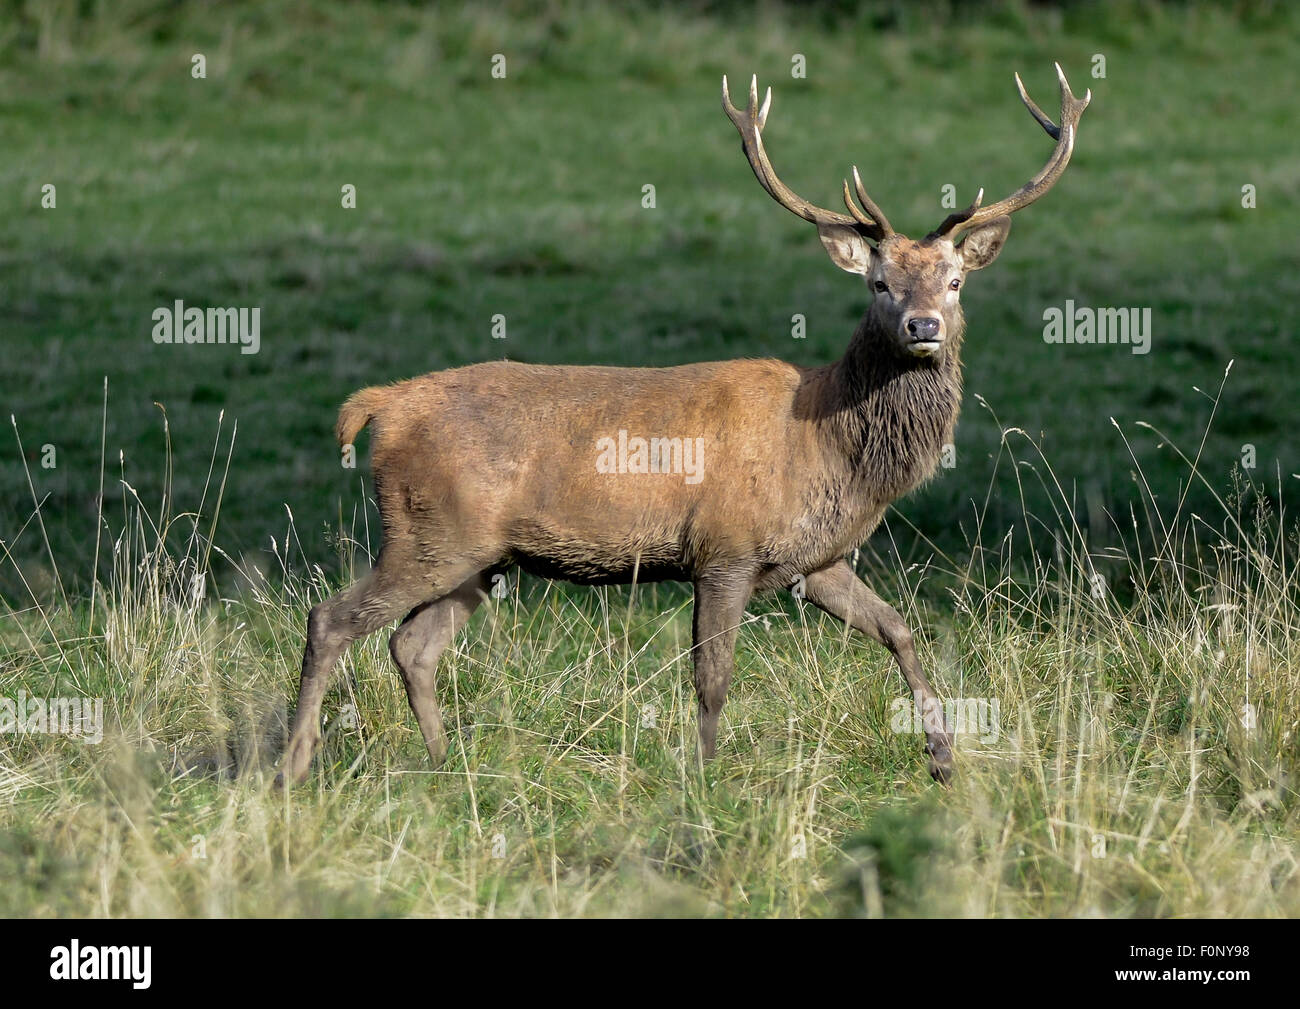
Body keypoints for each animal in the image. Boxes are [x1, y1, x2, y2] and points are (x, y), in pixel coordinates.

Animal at [278, 64, 1089, 787]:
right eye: (879, 283)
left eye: (954, 281)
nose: (924, 326)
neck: (832, 452)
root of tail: (379, 405)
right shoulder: (723, 548)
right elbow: (712, 676)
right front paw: (705, 780)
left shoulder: (817, 558)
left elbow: (900, 627)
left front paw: (943, 759)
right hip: (430, 533)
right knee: (330, 619)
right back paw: (292, 768)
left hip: (480, 556)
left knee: (412, 645)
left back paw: (448, 766)